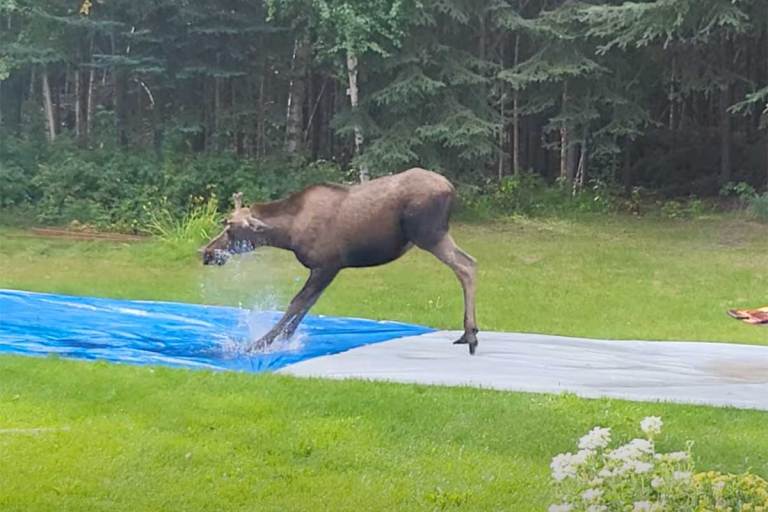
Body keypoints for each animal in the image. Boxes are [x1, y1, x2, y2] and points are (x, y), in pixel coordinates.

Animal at [200, 168, 479, 354]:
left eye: (230, 229)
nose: (206, 252)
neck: (288, 234)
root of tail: (451, 189)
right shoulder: (327, 269)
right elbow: (306, 306)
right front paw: (286, 340)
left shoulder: (326, 265)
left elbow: (296, 303)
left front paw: (258, 344)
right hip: (435, 235)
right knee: (470, 262)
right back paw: (469, 332)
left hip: (429, 235)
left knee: (466, 266)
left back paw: (471, 334)